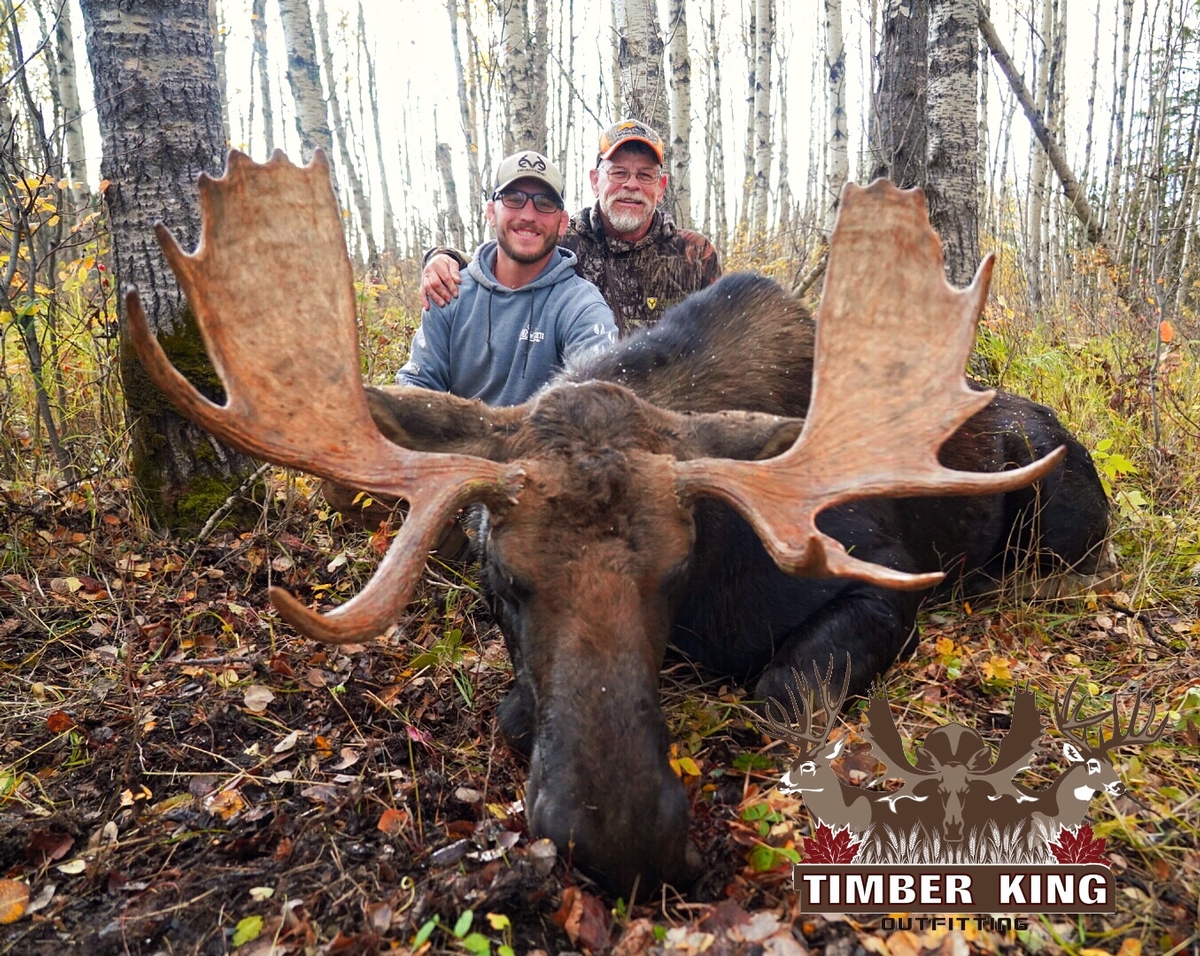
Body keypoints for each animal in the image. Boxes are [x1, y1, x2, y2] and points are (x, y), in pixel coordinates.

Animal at [126, 149, 1111, 894]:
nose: (625, 840)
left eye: (677, 569)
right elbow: (517, 712)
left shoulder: (883, 577)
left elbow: (779, 691)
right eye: (502, 577)